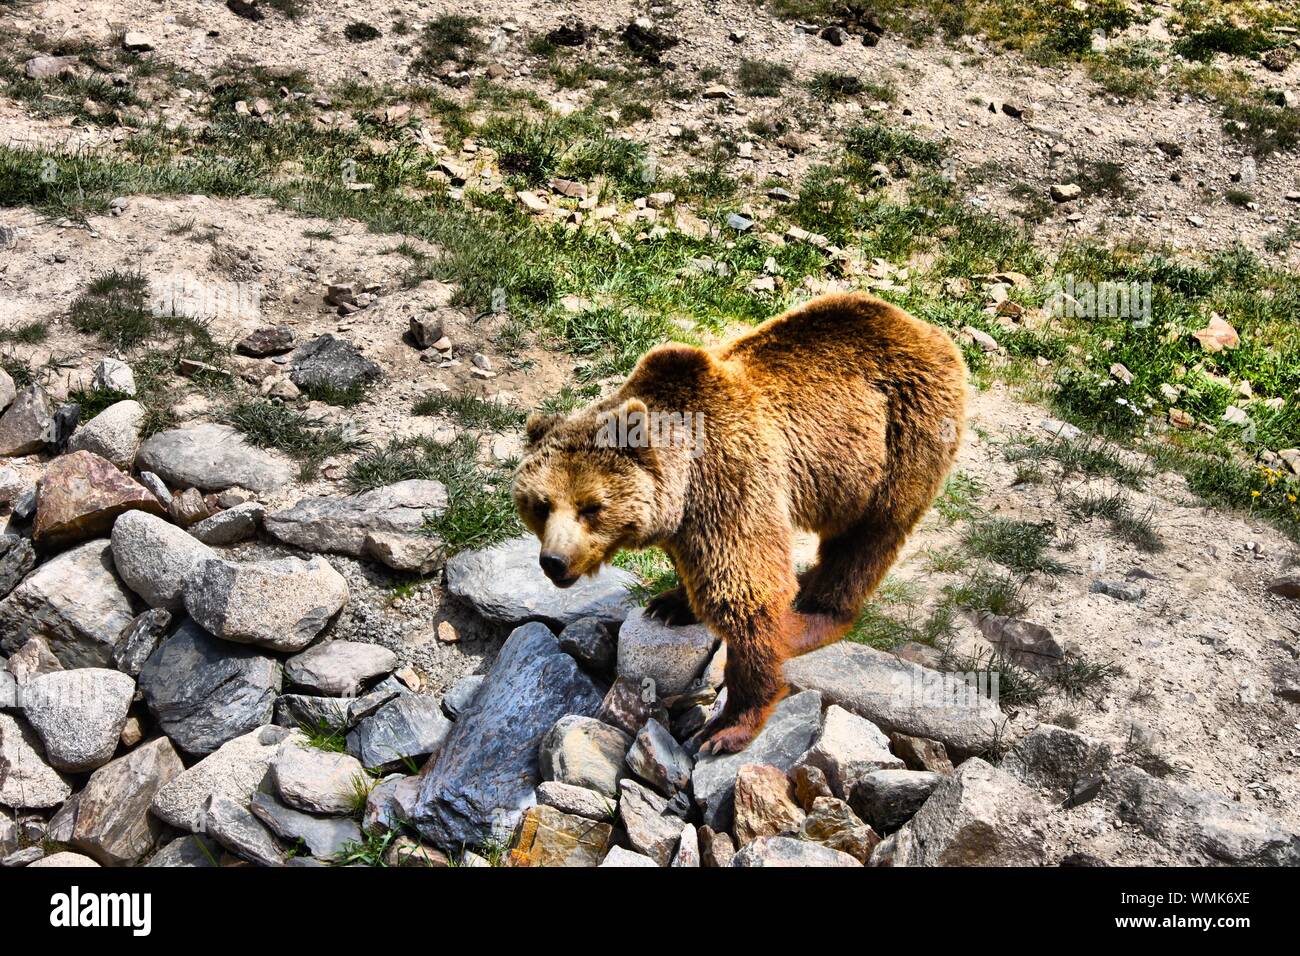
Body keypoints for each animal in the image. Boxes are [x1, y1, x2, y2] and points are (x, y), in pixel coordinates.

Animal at [512, 292, 968, 754]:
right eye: (541, 504)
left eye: (592, 507)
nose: (554, 560)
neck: (684, 485)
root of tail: (922, 327)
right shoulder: (688, 519)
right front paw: (671, 604)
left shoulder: (732, 479)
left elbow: (747, 592)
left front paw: (729, 724)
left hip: (901, 436)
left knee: (866, 538)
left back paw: (815, 614)